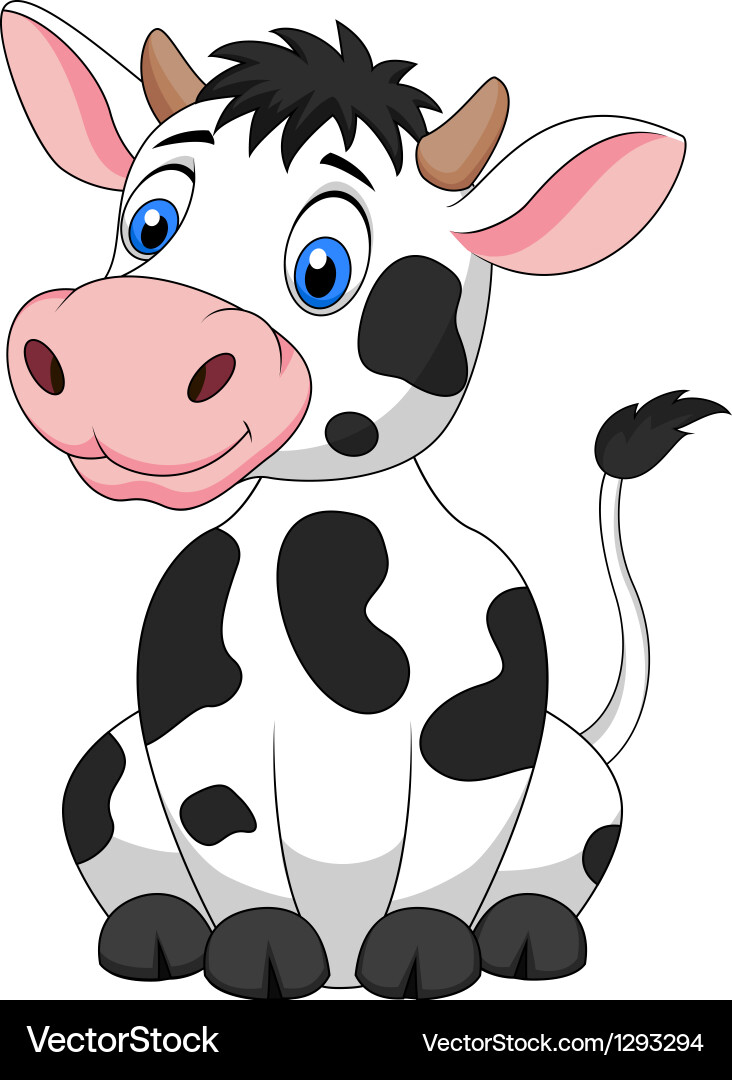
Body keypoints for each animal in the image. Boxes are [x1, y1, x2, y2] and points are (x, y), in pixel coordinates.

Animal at [2, 2, 726, 999]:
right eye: (150, 223)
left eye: (324, 268)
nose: (128, 337)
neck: (329, 542)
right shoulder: (191, 717)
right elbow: (225, 826)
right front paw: (259, 953)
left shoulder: (485, 732)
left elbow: (451, 848)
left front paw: (424, 955)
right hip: (104, 761)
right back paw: (151, 936)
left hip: (578, 782)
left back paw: (533, 939)